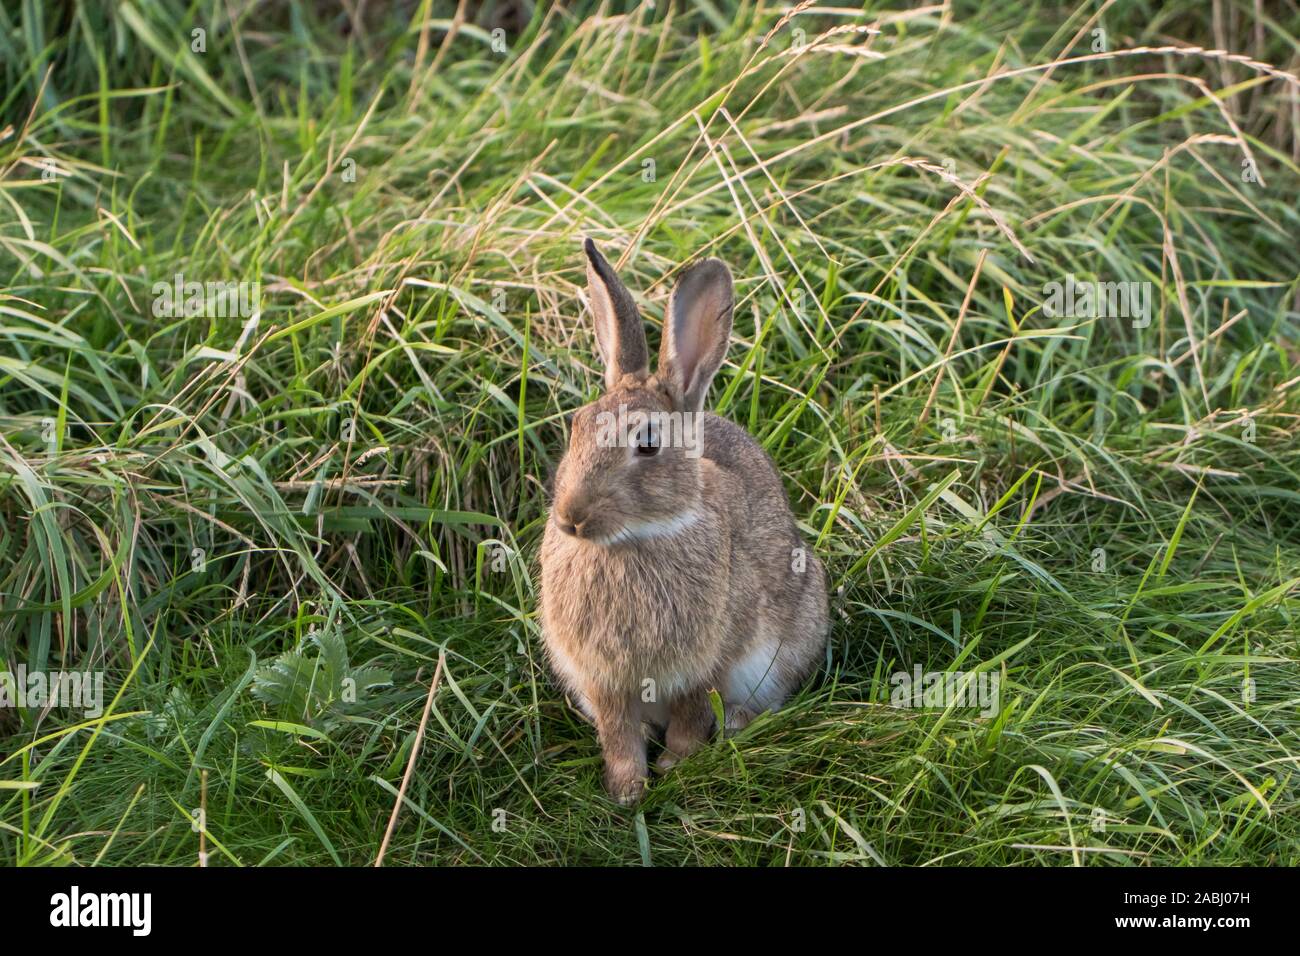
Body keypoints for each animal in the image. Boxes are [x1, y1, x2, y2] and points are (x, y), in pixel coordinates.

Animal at [539, 239, 828, 805]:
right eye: (577, 426)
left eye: (649, 444)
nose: (571, 517)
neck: (631, 541)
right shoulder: (602, 680)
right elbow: (618, 734)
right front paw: (627, 789)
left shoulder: (708, 664)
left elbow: (692, 719)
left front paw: (674, 766)